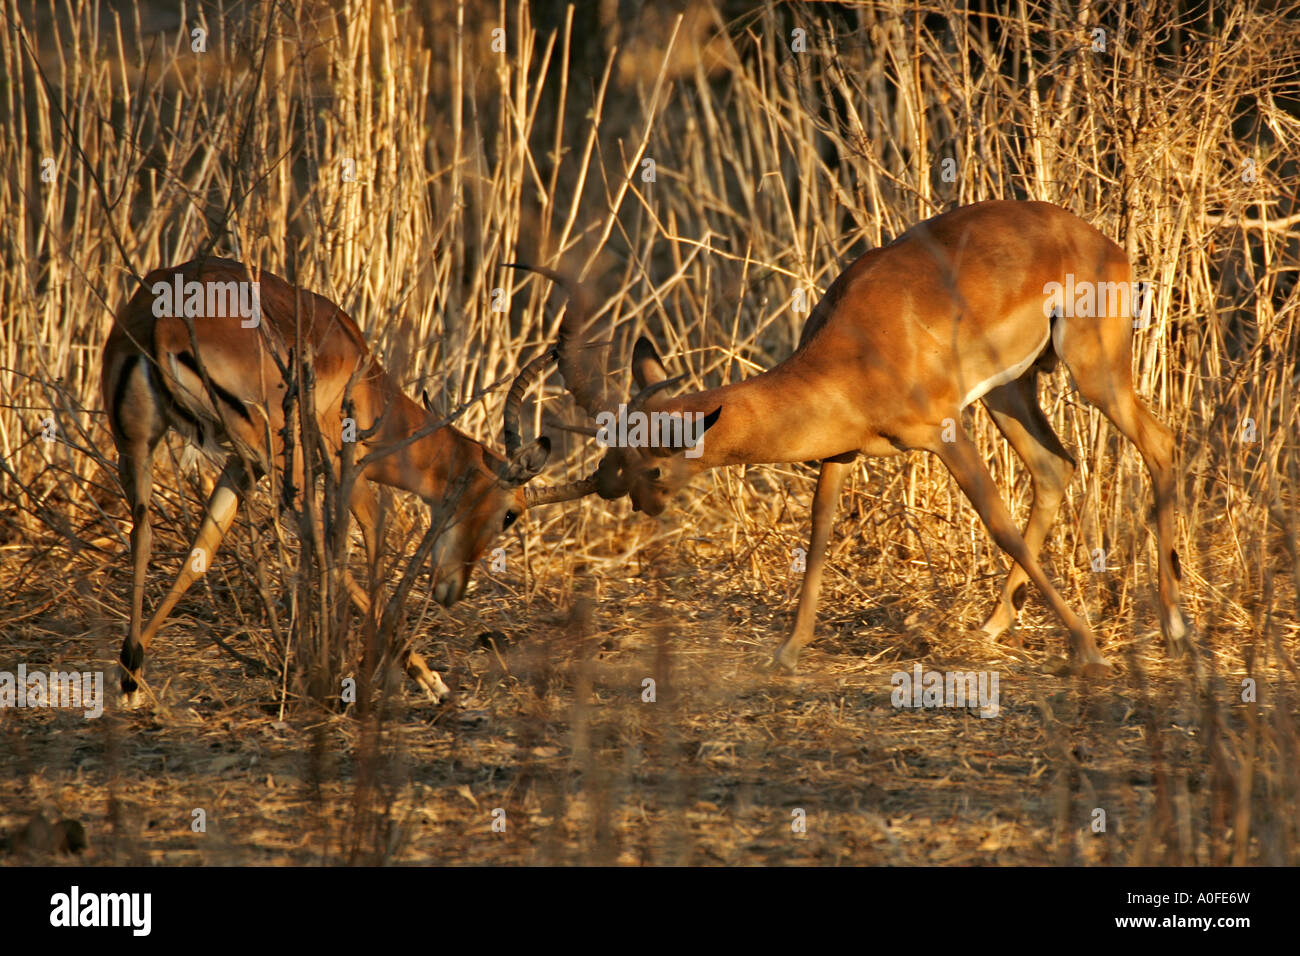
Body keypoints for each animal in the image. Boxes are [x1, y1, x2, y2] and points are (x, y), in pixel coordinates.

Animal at [102, 257, 596, 706]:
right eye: (511, 514)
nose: (452, 591)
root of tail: (163, 322)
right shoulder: (346, 465)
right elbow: (373, 538)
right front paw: (429, 681)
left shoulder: (243, 466)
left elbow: (201, 551)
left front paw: (134, 676)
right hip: (284, 459)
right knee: (323, 546)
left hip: (139, 447)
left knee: (142, 535)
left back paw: (130, 676)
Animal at [525, 200, 1188, 675]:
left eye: (654, 465)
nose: (630, 497)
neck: (856, 346)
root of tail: (1107, 245)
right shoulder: (841, 449)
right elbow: (818, 534)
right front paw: (788, 650)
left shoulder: (945, 432)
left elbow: (996, 523)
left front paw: (1089, 649)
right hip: (1012, 390)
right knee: (1056, 467)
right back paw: (993, 626)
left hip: (1091, 369)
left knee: (1160, 443)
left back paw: (1174, 628)